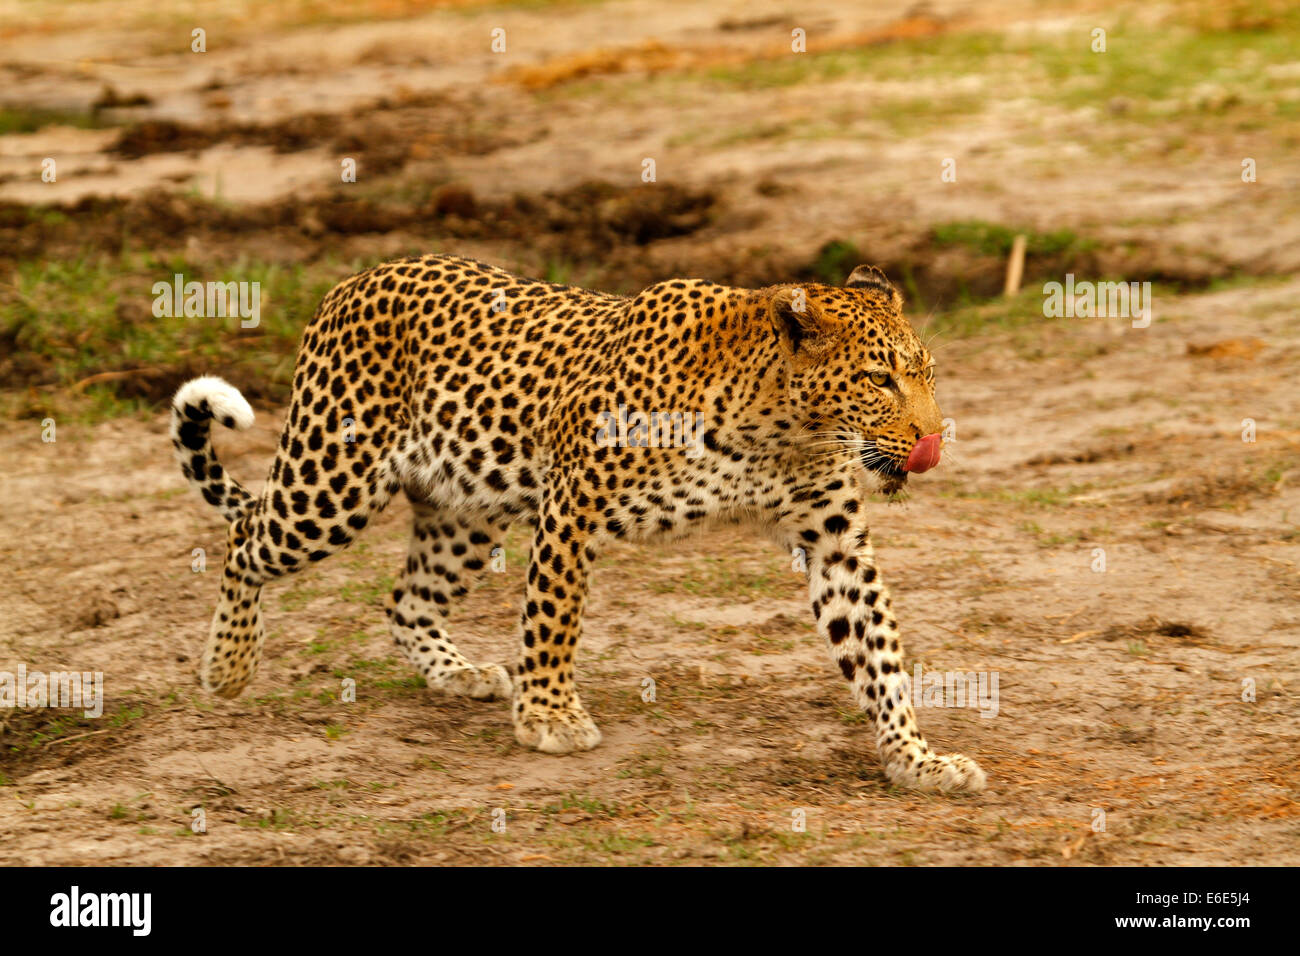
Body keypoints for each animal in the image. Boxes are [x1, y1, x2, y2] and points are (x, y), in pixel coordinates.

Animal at [171, 253, 985, 793]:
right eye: (879, 379)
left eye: (926, 373)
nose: (932, 438)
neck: (778, 426)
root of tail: (353, 280)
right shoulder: (573, 504)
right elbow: (552, 620)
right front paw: (549, 716)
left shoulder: (835, 541)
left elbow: (878, 652)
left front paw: (916, 757)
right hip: (330, 486)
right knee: (243, 542)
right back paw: (228, 665)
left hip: (468, 511)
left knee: (404, 600)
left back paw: (457, 672)